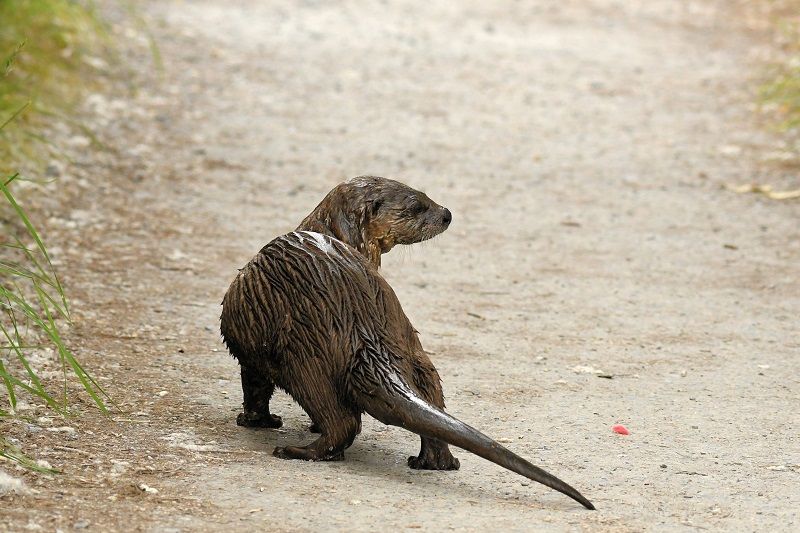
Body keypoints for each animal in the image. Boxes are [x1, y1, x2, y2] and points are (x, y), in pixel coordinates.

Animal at [220, 180, 594, 510]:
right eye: (418, 205)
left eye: (426, 198)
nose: (447, 214)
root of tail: (360, 324)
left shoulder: (251, 354)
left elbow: (254, 385)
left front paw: (255, 421)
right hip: (407, 337)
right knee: (430, 391)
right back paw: (434, 462)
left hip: (304, 353)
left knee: (337, 416)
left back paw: (298, 451)